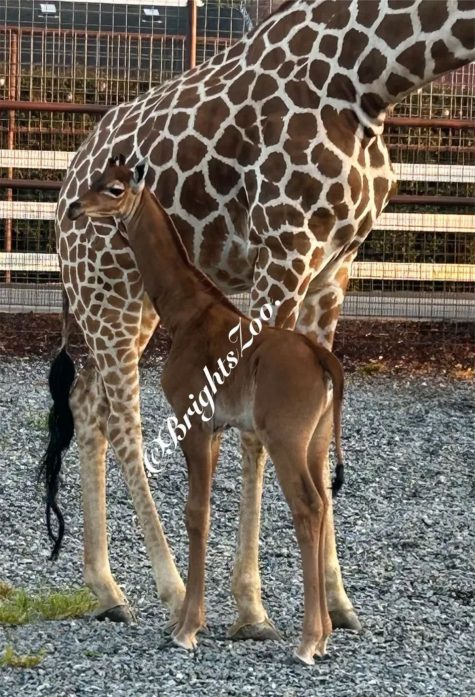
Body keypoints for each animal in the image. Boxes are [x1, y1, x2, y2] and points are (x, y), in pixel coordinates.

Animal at [42, 0, 475, 638]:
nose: (88, 201)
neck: (370, 78)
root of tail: (64, 187)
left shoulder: (335, 265)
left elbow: (317, 431)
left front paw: (337, 602)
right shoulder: (284, 249)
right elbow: (257, 436)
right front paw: (251, 607)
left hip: (128, 302)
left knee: (88, 407)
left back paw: (108, 590)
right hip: (106, 290)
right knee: (123, 421)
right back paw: (172, 591)